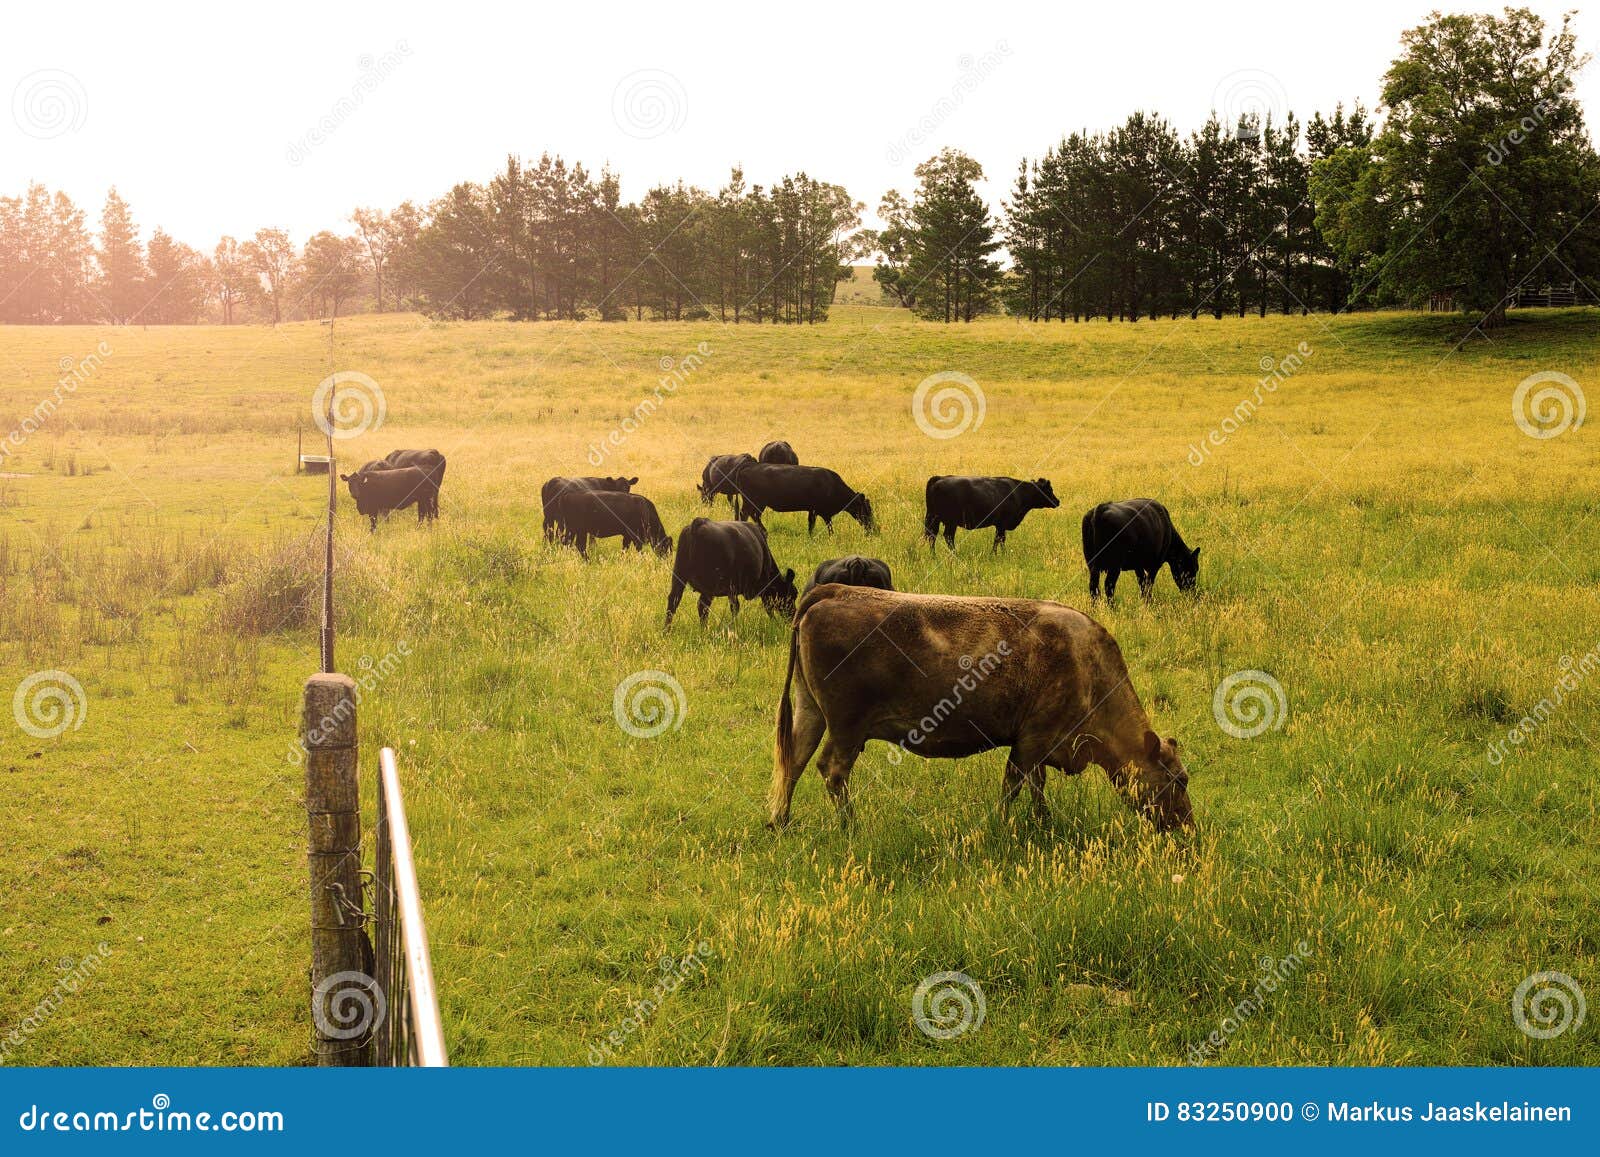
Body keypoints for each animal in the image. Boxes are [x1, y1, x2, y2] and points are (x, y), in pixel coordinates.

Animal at [665, 518, 798, 628]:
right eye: (793, 595)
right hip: (710, 585)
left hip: (679, 575)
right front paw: (774, 624)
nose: (793, 617)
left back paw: (667, 630)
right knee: (703, 606)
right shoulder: (757, 588)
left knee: (674, 601)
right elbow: (765, 607)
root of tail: (699, 523)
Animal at [730, 463, 875, 535]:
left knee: (754, 515)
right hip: (753, 501)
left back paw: (763, 531)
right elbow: (828, 526)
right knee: (746, 514)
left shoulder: (812, 510)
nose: (873, 529)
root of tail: (747, 466)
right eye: (867, 510)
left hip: (758, 503)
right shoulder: (822, 511)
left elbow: (811, 524)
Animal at [769, 585, 1194, 832]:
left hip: (811, 712)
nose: (1187, 828)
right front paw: (1003, 825)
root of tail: (833, 592)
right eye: (1179, 780)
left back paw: (780, 823)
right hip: (846, 727)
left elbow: (1036, 787)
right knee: (832, 770)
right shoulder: (1033, 740)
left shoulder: (1038, 746)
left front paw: (1043, 824)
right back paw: (851, 827)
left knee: (795, 760)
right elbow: (1013, 786)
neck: (1088, 665)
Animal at [924, 475, 1060, 551]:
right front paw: (1001, 554)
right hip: (950, 521)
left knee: (935, 537)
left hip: (939, 520)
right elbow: (1001, 539)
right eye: (1049, 489)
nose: (1057, 501)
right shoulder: (1002, 524)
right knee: (946, 537)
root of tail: (940, 478)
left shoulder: (999, 525)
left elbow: (997, 539)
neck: (1019, 493)